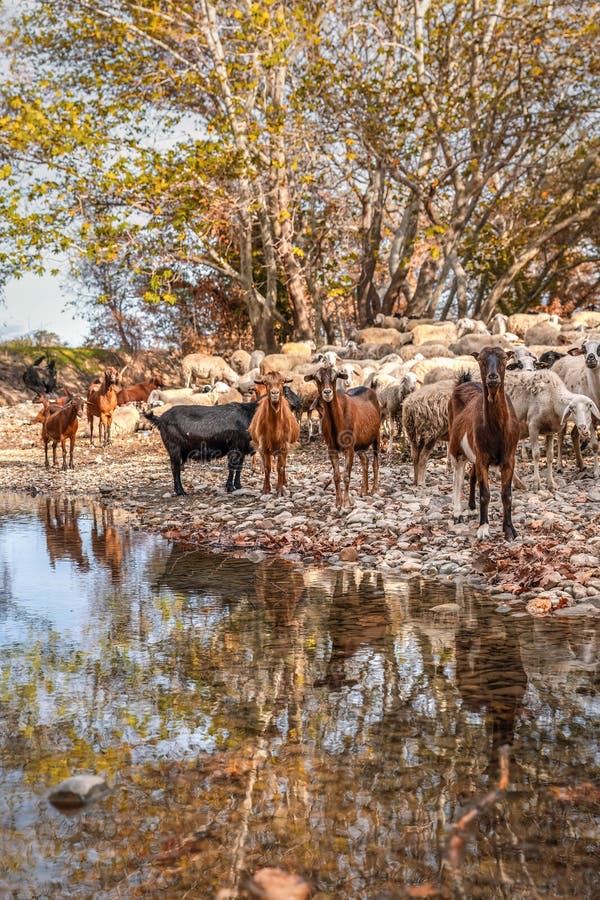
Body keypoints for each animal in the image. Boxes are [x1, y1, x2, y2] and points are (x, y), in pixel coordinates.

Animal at [305, 363, 381, 508]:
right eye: (317, 379)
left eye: (335, 377)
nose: (327, 392)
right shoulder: (331, 448)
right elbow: (336, 476)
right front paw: (337, 502)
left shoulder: (349, 447)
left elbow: (346, 475)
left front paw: (346, 503)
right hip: (360, 443)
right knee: (365, 460)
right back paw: (364, 490)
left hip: (376, 435)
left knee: (375, 461)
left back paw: (374, 489)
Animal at [448, 347, 520, 541]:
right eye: (480, 360)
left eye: (504, 358)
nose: (493, 377)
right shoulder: (482, 457)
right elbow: (485, 494)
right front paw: (483, 528)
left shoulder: (509, 458)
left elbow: (506, 494)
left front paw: (509, 530)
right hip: (456, 446)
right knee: (457, 478)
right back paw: (457, 513)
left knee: (472, 475)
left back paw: (472, 507)